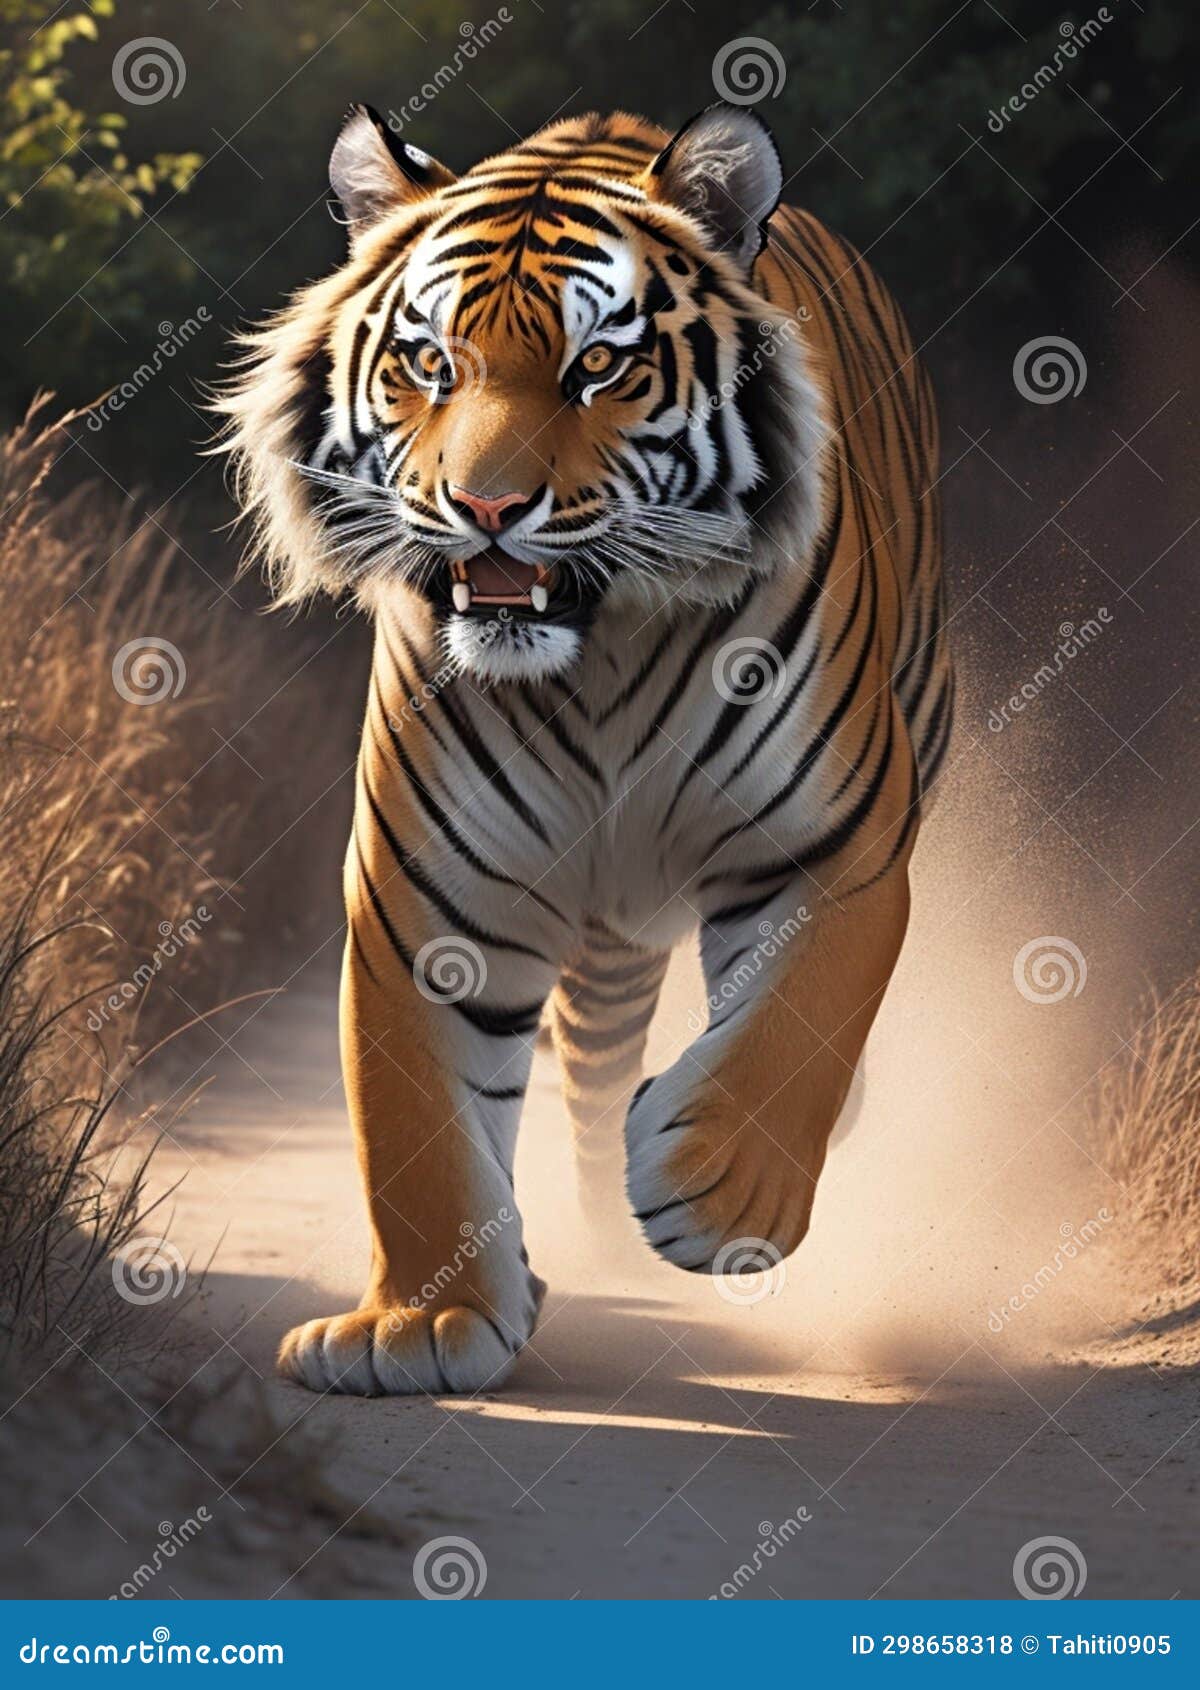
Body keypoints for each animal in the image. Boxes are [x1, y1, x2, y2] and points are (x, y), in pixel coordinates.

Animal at [218, 101, 952, 1396]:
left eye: (597, 366)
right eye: (429, 364)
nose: (486, 507)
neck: (597, 649)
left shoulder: (840, 841)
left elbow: (806, 1011)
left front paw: (720, 1190)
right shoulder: (427, 898)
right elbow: (411, 1115)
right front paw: (420, 1323)